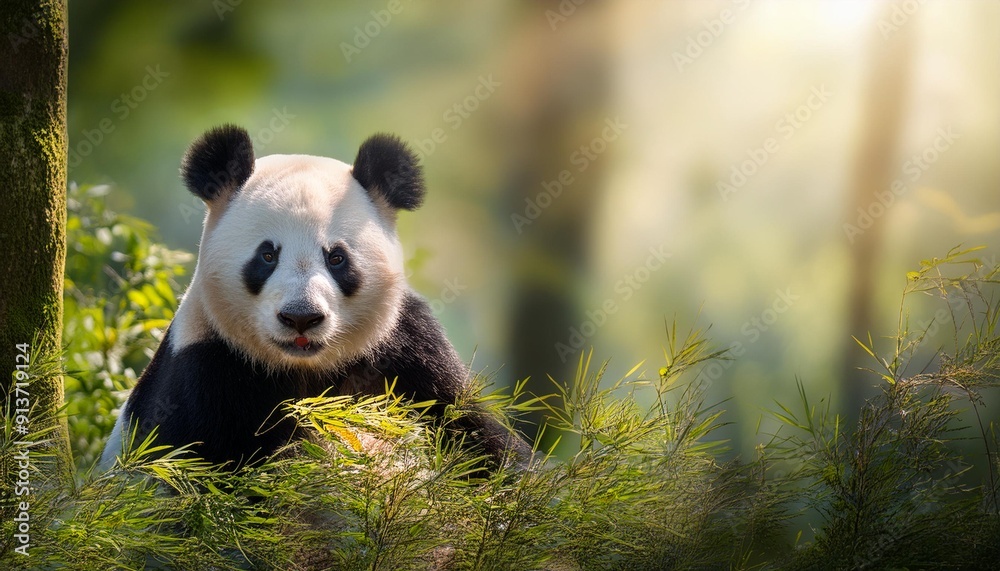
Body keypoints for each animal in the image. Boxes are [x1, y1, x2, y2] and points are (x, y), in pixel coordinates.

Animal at [99, 125, 530, 471]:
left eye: (336, 258)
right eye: (267, 255)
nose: (301, 318)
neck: (305, 368)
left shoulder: (406, 350)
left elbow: (476, 434)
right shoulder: (205, 369)